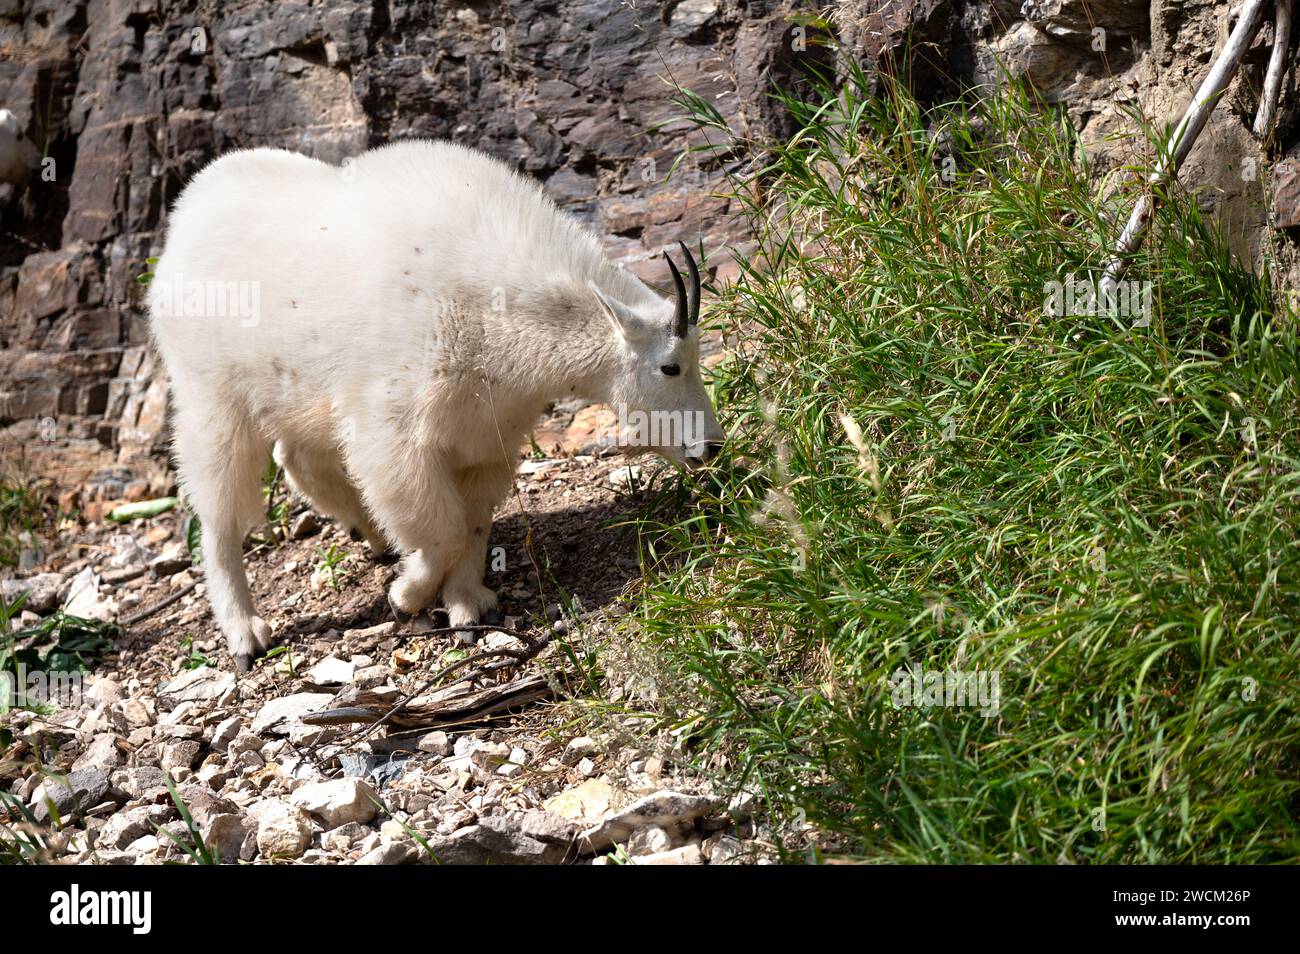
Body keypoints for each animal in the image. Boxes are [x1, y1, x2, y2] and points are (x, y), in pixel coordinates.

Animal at [149, 140, 724, 670]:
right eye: (671, 366)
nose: (712, 445)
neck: (495, 309)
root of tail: (184, 217)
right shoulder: (395, 432)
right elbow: (442, 528)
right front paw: (406, 597)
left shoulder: (487, 438)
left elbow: (472, 524)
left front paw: (470, 606)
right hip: (211, 398)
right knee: (219, 512)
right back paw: (245, 632)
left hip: (298, 396)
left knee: (298, 459)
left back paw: (371, 535)